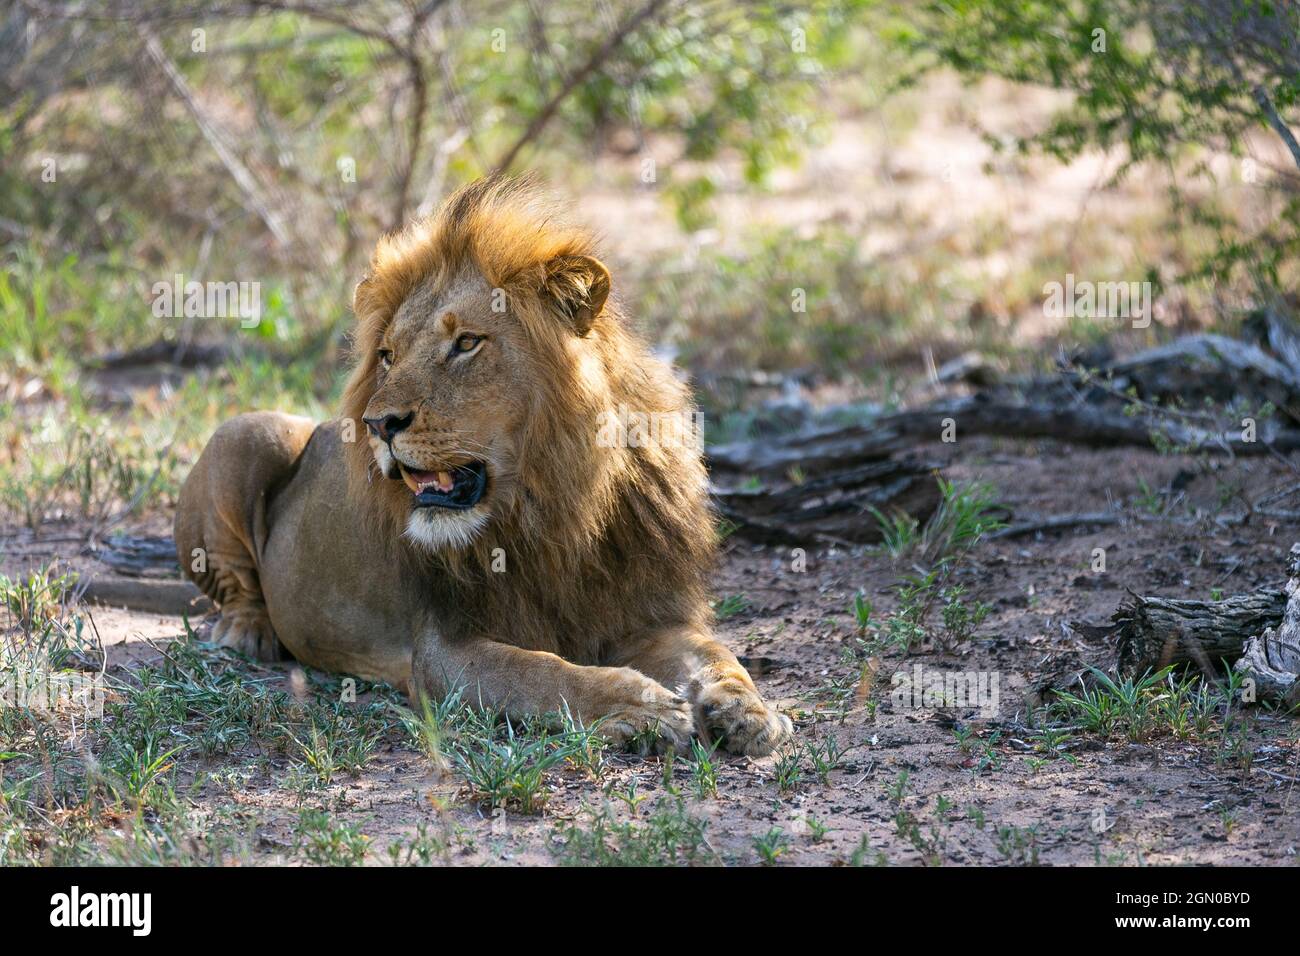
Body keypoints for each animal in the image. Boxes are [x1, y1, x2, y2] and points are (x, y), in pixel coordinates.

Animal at [174, 176, 792, 755]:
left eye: (467, 343)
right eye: (388, 356)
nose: (377, 424)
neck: (557, 505)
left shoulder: (651, 615)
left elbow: (715, 653)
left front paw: (749, 711)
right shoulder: (441, 651)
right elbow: (545, 673)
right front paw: (642, 707)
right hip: (245, 433)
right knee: (234, 582)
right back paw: (246, 632)